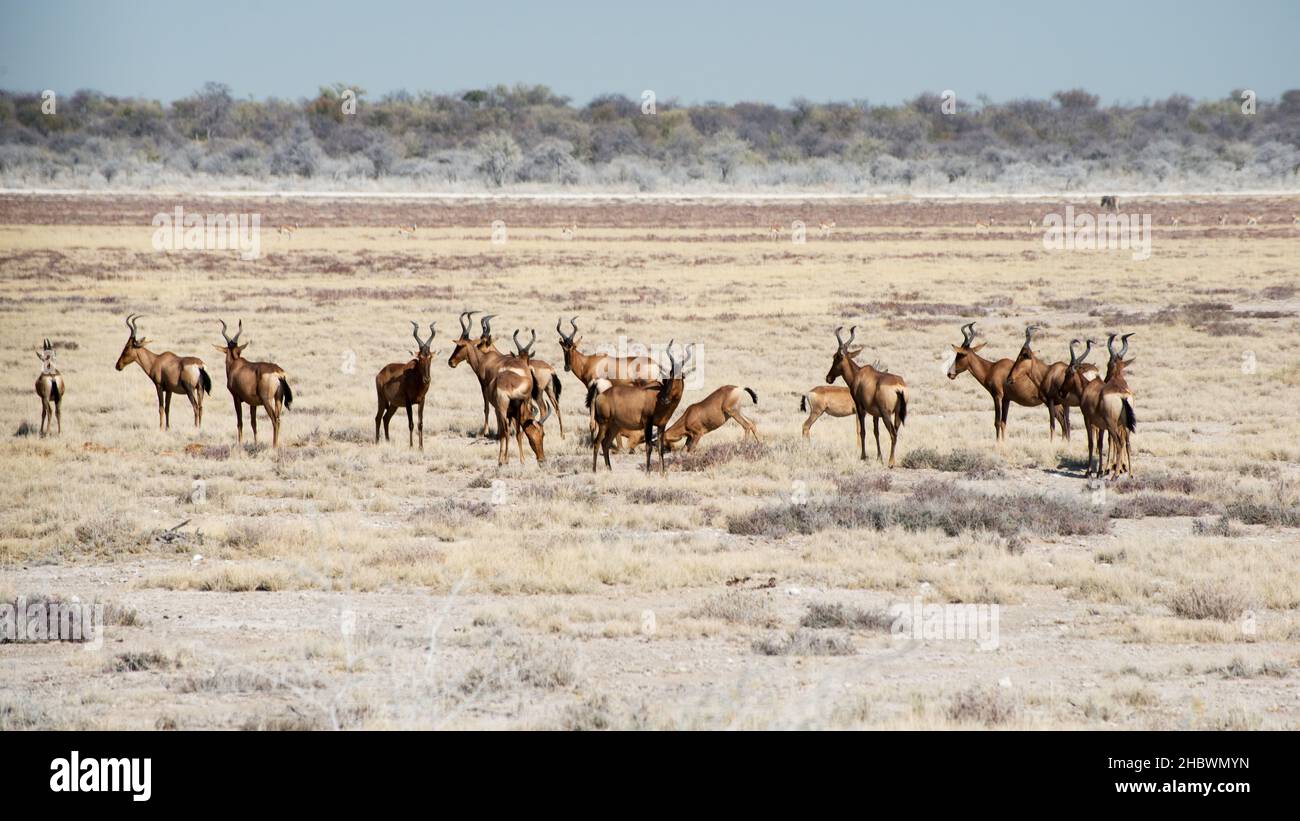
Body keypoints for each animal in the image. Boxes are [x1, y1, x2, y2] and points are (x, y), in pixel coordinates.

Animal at [214, 319, 293, 448]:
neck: (236, 364)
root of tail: (279, 373)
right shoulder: (253, 403)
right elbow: (253, 423)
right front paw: (256, 443)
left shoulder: (236, 398)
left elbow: (240, 422)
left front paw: (240, 444)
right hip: (278, 399)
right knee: (278, 419)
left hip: (267, 401)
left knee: (274, 420)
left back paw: (274, 446)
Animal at [488, 330, 545, 466]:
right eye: (541, 435)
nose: (542, 459)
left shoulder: (502, 411)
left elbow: (505, 432)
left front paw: (502, 459)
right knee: (511, 432)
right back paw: (512, 459)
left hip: (503, 410)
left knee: (506, 432)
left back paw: (504, 460)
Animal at [589, 342, 688, 474]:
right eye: (669, 376)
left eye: (679, 377)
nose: (665, 399)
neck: (657, 393)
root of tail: (601, 395)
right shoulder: (647, 423)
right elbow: (649, 446)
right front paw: (648, 472)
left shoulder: (662, 425)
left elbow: (660, 448)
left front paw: (662, 473)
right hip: (603, 423)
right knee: (597, 442)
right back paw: (594, 470)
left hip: (615, 426)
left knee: (605, 443)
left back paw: (610, 469)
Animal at [826, 326, 909, 467]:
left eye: (836, 357)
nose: (828, 378)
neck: (859, 374)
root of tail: (898, 386)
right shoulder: (875, 413)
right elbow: (876, 432)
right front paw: (879, 457)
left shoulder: (861, 408)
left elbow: (863, 431)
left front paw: (863, 456)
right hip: (897, 413)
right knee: (896, 432)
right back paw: (892, 460)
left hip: (886, 414)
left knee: (893, 434)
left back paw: (890, 463)